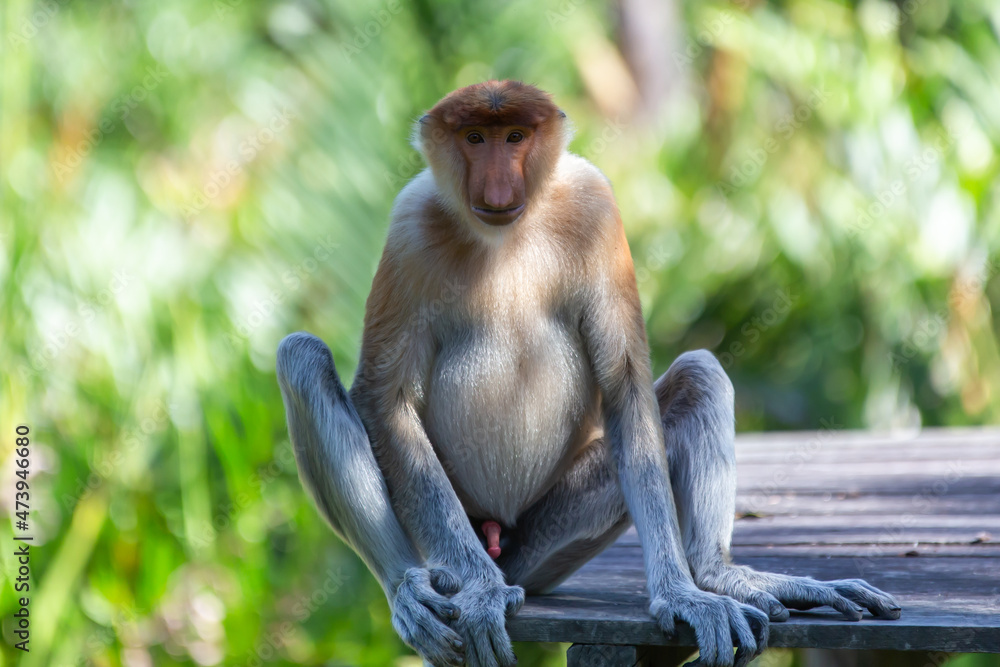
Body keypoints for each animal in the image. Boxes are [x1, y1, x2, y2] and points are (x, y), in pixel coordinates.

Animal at [276, 80, 901, 667]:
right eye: (474, 138)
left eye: (515, 137)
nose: (498, 187)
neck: (506, 233)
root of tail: (497, 535)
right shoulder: (408, 224)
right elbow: (384, 398)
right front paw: (480, 595)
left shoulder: (596, 204)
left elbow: (626, 386)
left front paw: (684, 597)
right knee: (300, 359)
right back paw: (414, 591)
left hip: (546, 539)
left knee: (698, 375)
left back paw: (719, 577)